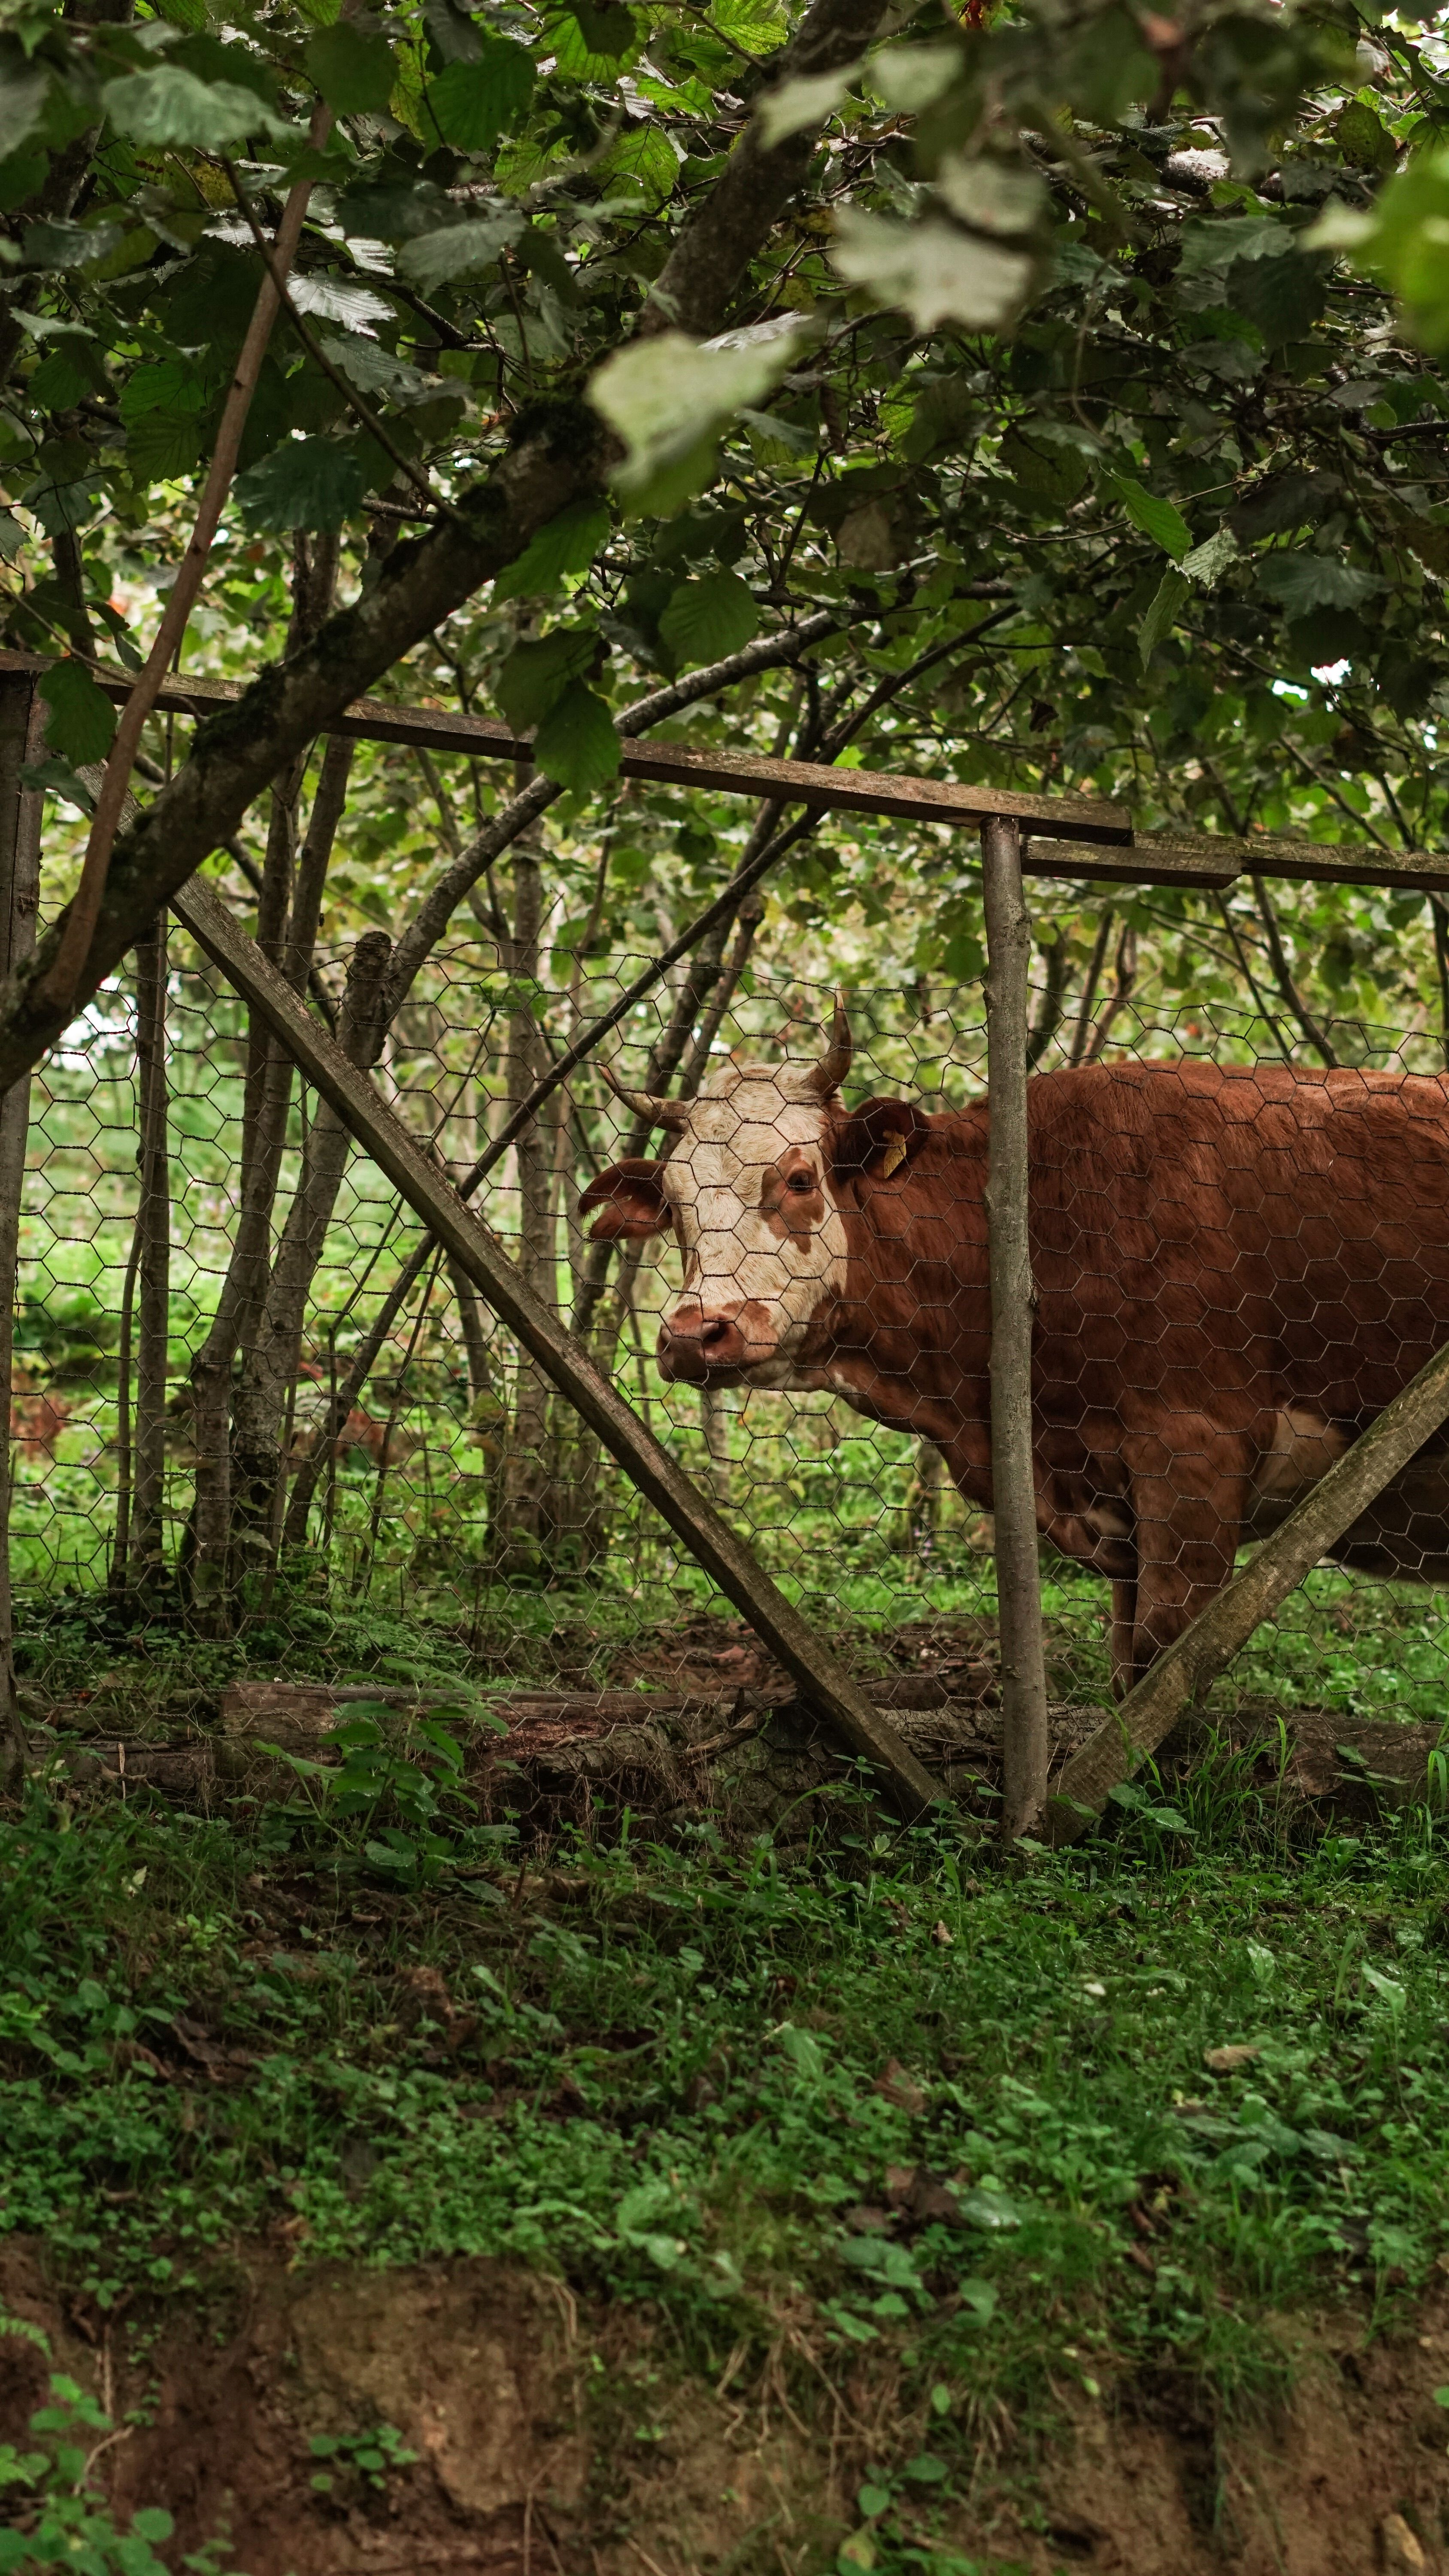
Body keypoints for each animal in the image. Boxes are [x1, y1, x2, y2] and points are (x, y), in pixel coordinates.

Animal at [580, 1006, 1449, 1695]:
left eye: (798, 1179)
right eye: (676, 1206)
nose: (695, 1333)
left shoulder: (1195, 1461)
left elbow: (1160, 1669)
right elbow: (1124, 1665)